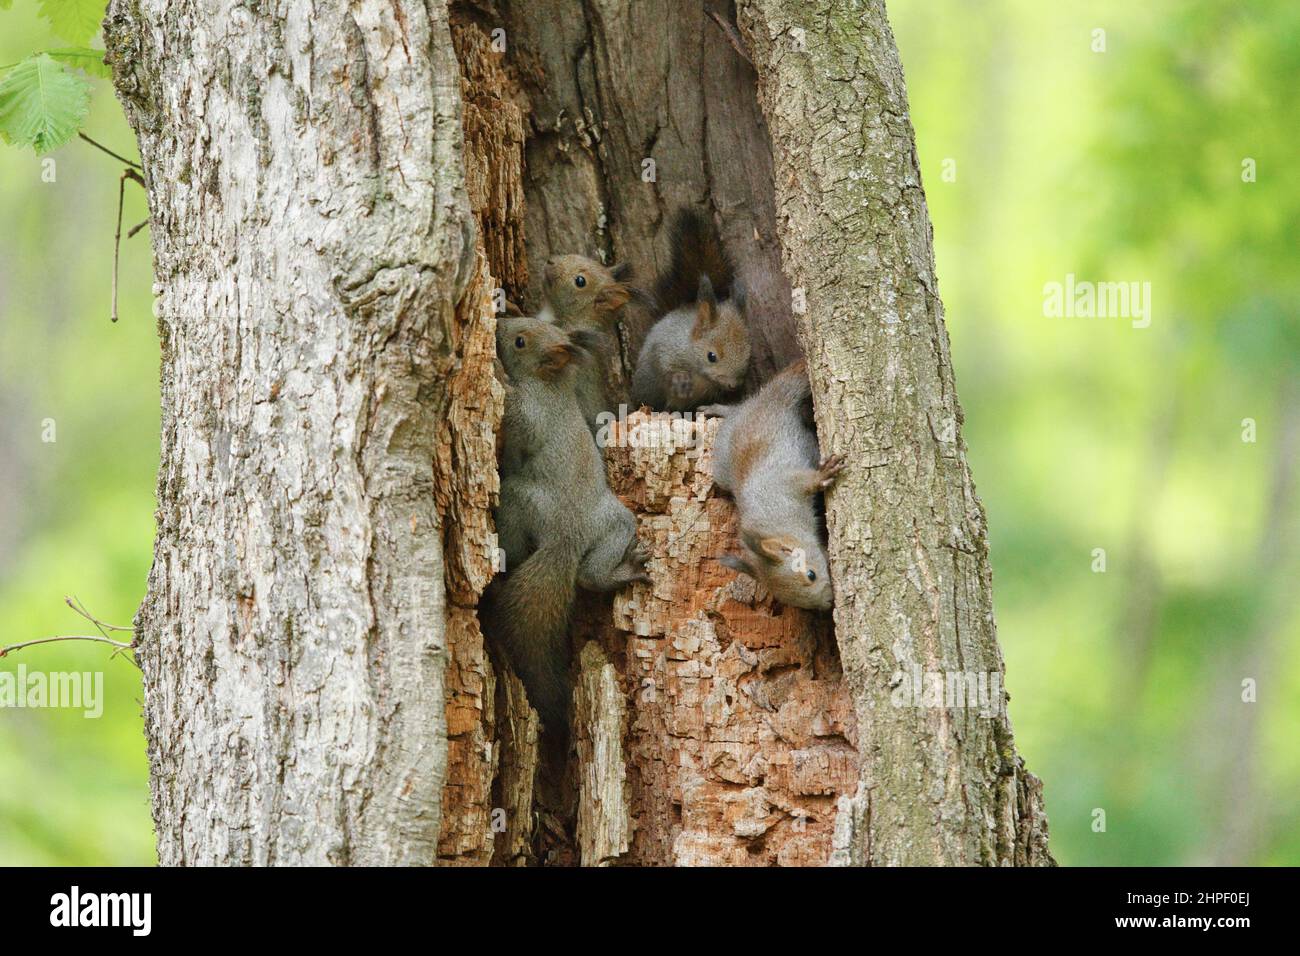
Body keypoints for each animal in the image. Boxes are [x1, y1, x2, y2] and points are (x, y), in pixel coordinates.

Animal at [484, 315, 649, 729]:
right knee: (592, 569)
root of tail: (567, 536)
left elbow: (511, 418)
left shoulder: (525, 413)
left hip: (519, 501)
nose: (500, 323)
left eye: (520, 341)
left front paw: (497, 372)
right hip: (617, 523)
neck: (552, 386)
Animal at [631, 208, 751, 412]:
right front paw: (680, 381)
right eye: (711, 356)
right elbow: (664, 368)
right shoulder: (665, 349)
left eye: (748, 353)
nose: (733, 385)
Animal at [706, 359, 845, 611]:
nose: (828, 604)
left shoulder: (784, 485)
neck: (776, 522)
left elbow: (806, 482)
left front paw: (823, 474)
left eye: (810, 575)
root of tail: (769, 399)